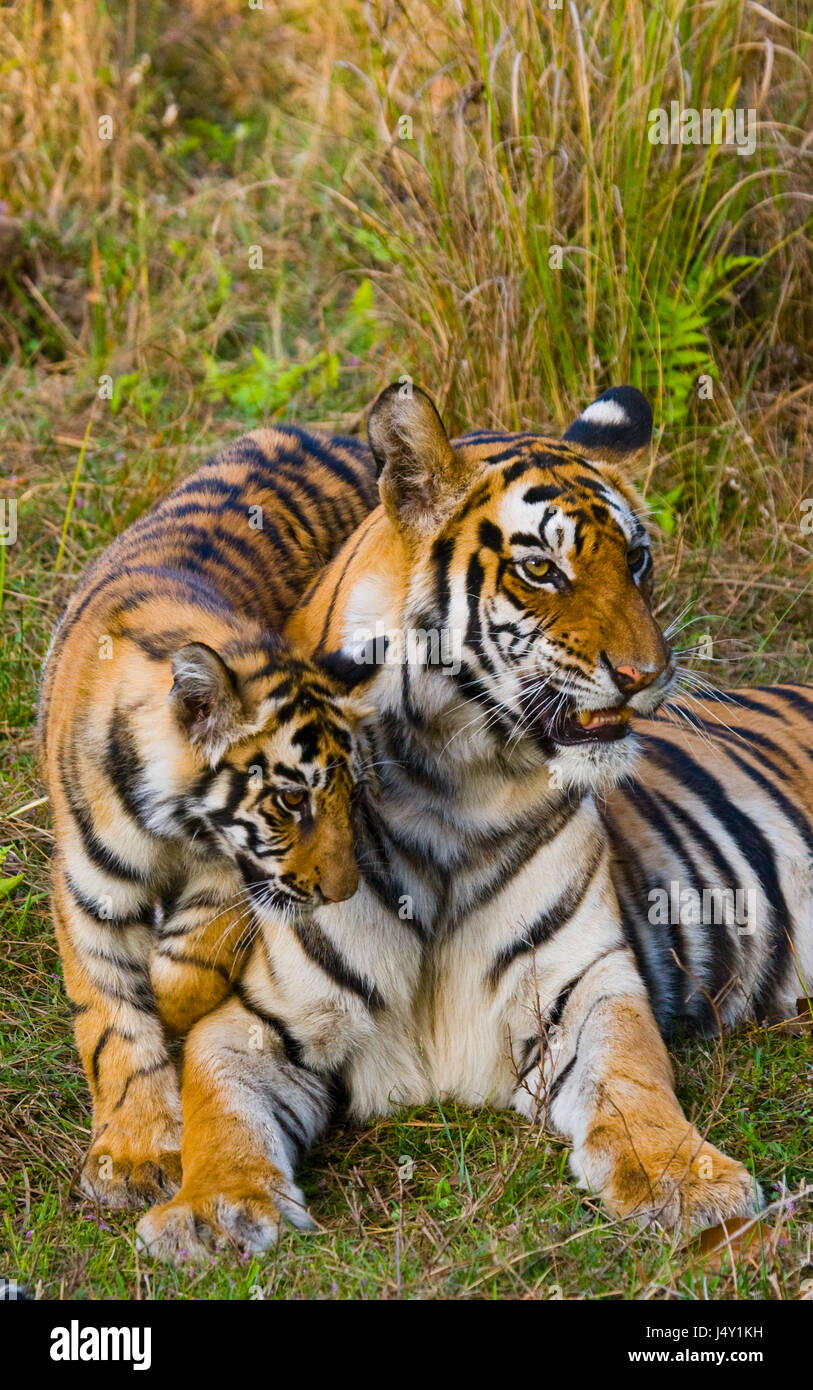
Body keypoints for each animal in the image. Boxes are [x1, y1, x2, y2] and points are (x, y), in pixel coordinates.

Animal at [39, 423, 378, 1209]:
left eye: (350, 795)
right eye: (292, 799)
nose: (342, 892)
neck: (169, 822)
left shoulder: (238, 874)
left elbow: (184, 968)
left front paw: (178, 1008)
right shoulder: (87, 890)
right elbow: (110, 1020)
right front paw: (131, 1156)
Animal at [135, 381, 813, 1262]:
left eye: (634, 561)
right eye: (540, 569)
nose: (647, 676)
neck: (453, 799)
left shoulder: (584, 984)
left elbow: (634, 1079)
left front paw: (684, 1181)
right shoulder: (254, 1016)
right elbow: (216, 1110)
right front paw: (211, 1210)